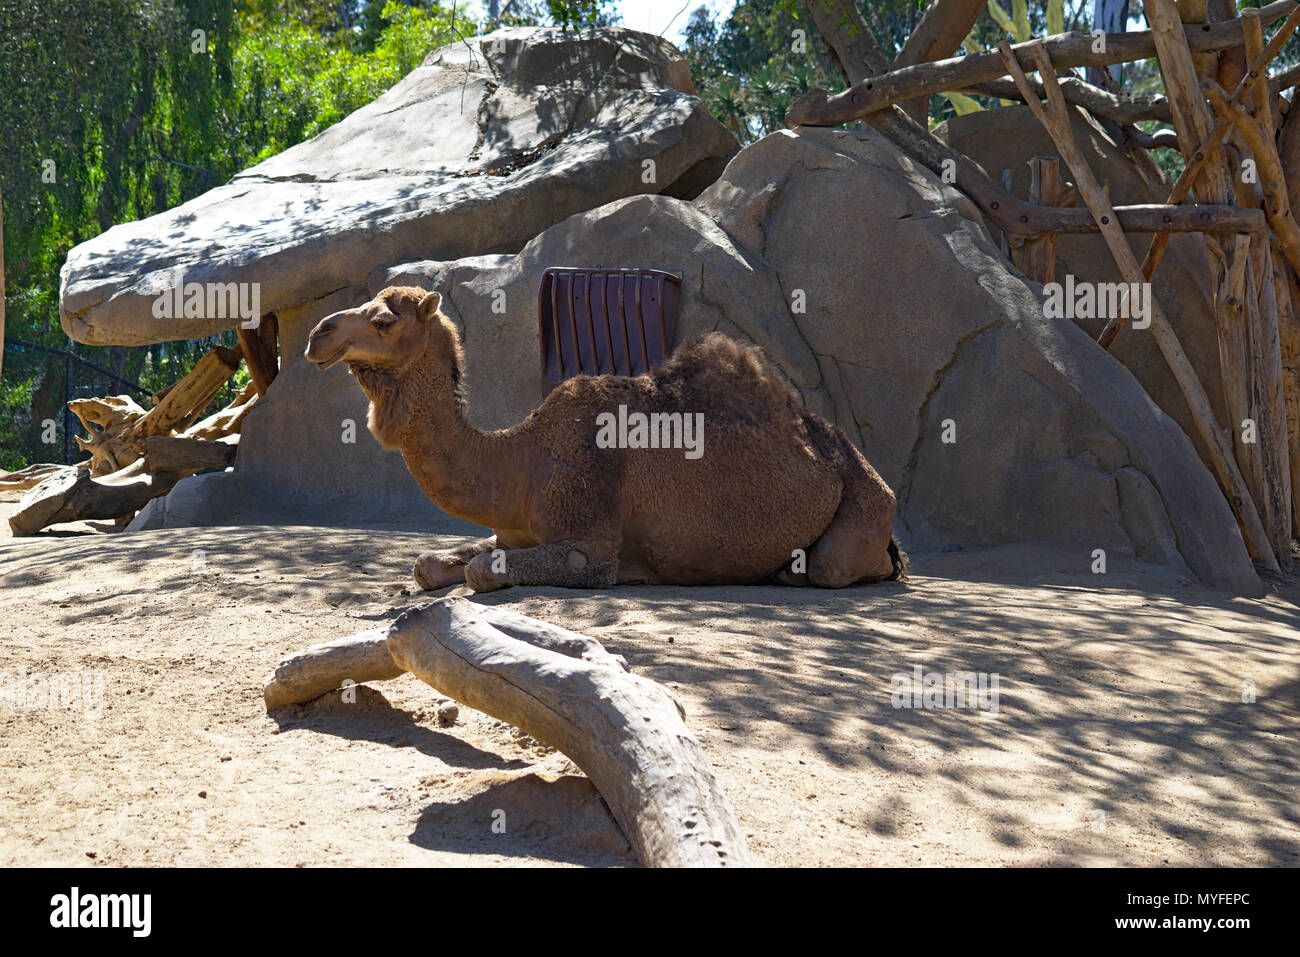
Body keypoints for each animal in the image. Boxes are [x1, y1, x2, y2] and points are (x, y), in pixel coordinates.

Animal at [304, 285, 907, 592]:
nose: (317, 334)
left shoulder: (590, 541)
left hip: (865, 505)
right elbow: (429, 563)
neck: (521, 460)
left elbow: (481, 572)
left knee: (841, 566)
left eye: (384, 321)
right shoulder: (510, 532)